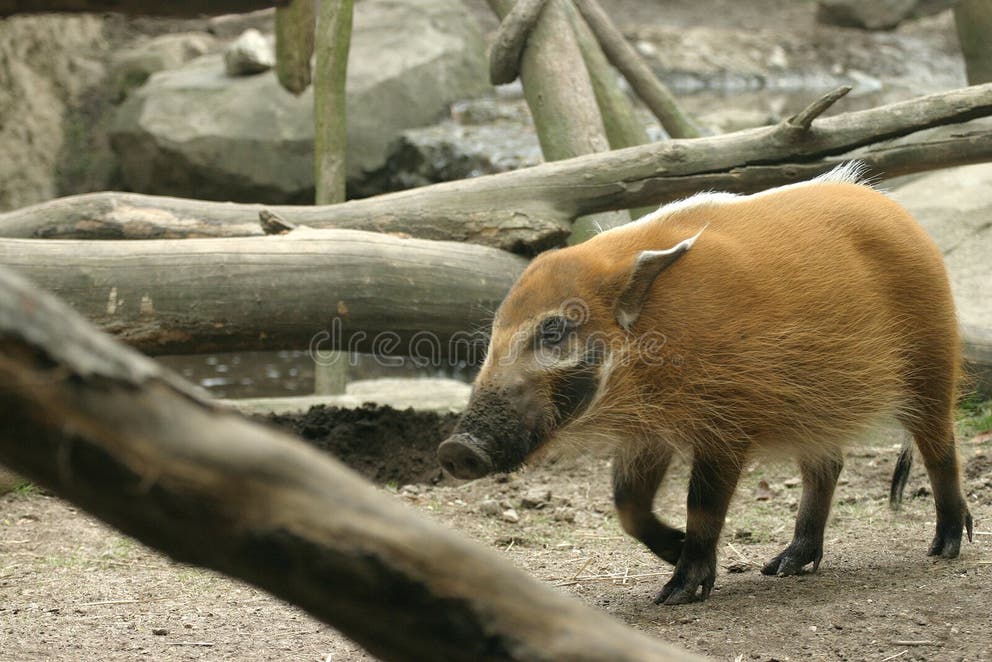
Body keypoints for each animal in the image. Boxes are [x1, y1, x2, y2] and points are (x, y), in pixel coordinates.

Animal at [437, 163, 973, 605]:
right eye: (494, 333)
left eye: (553, 330)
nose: (455, 449)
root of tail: (892, 207)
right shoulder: (646, 434)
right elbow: (627, 504)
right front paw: (676, 554)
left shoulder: (726, 422)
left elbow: (703, 502)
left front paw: (677, 592)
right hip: (818, 414)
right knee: (826, 468)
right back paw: (782, 566)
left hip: (931, 362)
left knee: (940, 447)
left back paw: (945, 547)